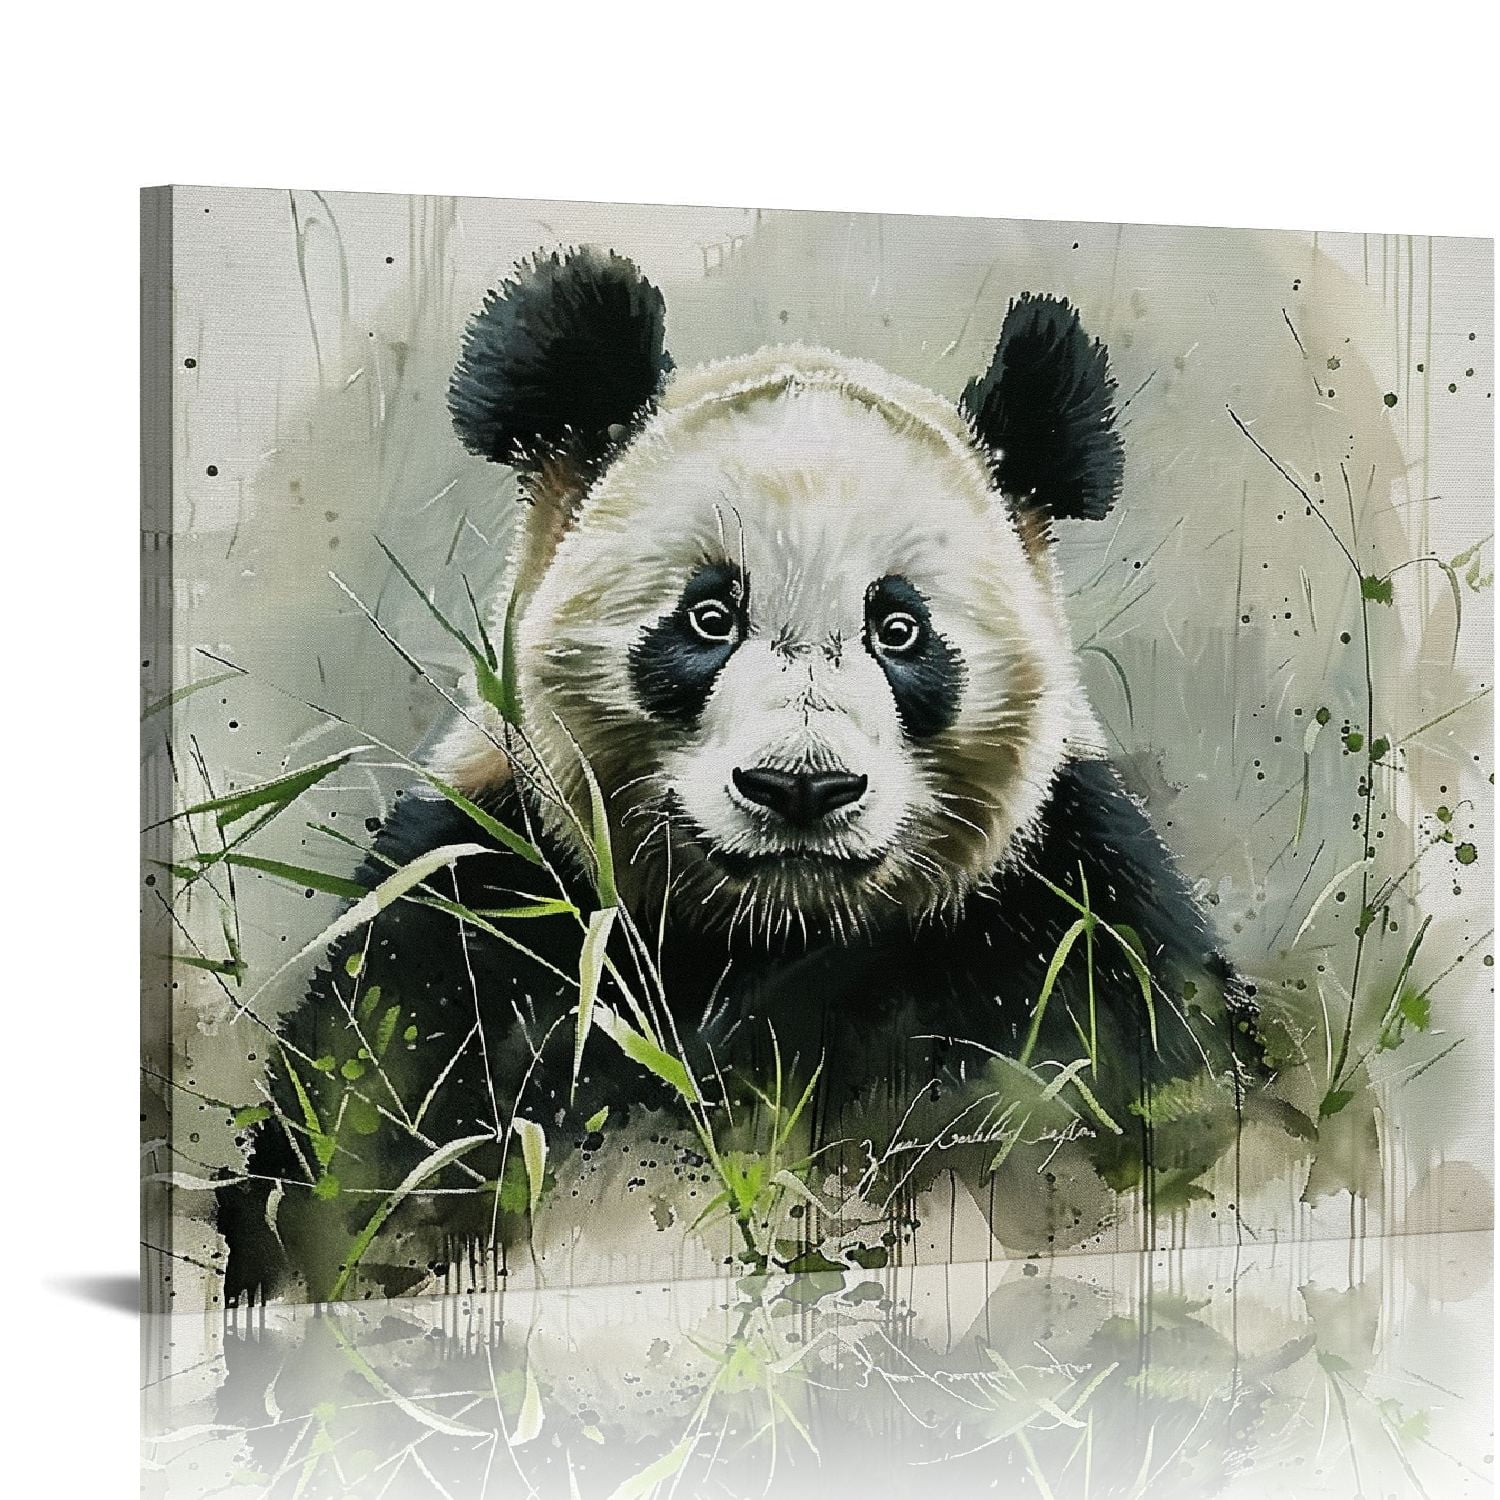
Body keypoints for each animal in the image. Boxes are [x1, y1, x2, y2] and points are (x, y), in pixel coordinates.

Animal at [218, 247, 1272, 1306]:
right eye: (709, 618)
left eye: (900, 630)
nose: (800, 788)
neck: (766, 931)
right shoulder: (474, 903)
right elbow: (362, 1144)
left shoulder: (1070, 921)